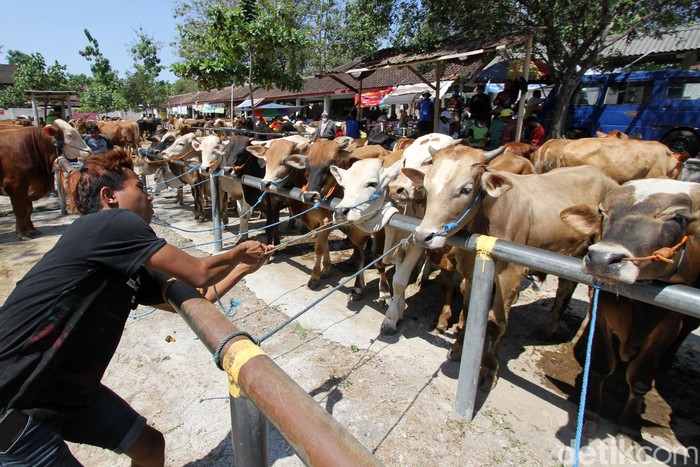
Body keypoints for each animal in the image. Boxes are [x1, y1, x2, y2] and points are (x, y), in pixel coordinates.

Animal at [410, 148, 616, 390]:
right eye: (427, 186)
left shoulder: (510, 274)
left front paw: (489, 370)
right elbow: (469, 310)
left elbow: (495, 323)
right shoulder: (471, 271)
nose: (423, 236)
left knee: (593, 299)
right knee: (566, 287)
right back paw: (548, 328)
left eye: (466, 189)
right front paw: (458, 348)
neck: (487, 216)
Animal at [556, 179, 700, 446]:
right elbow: (600, 364)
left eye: (678, 218)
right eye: (603, 212)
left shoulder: (668, 325)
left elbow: (640, 378)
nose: (602, 259)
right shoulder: (601, 309)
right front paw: (589, 414)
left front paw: (630, 429)